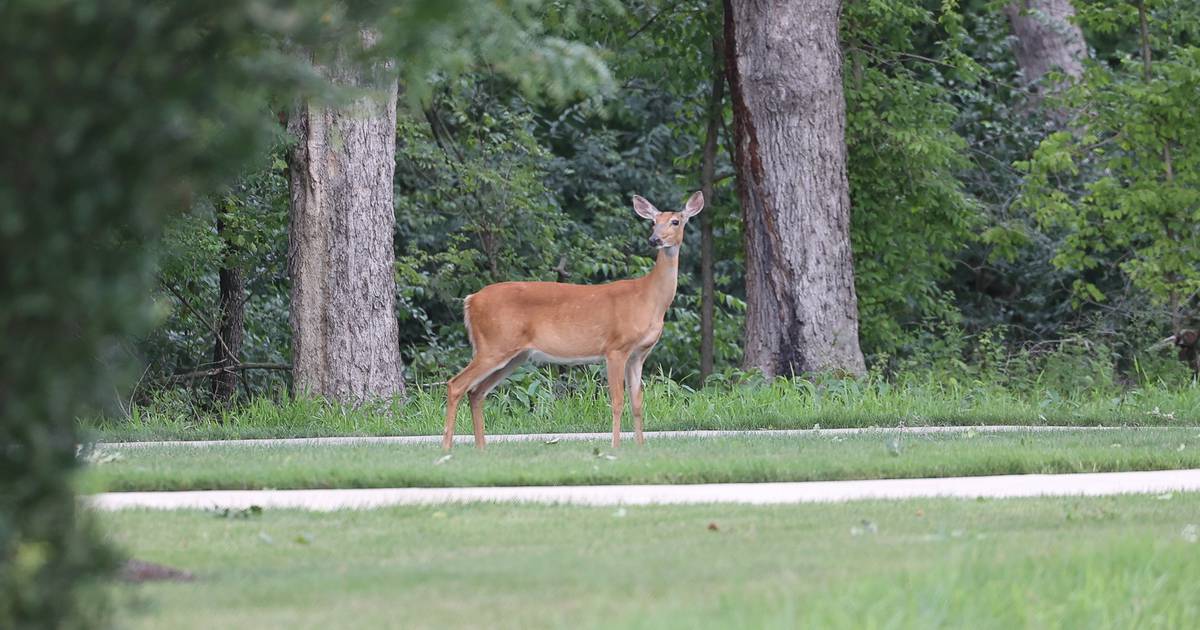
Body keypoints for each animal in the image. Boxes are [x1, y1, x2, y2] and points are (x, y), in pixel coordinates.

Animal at [442, 191, 704, 451]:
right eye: (653, 222)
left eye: (675, 221)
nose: (654, 240)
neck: (649, 299)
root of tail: (471, 300)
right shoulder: (615, 348)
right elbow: (617, 400)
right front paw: (615, 447)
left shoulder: (639, 354)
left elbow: (637, 401)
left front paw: (640, 446)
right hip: (494, 345)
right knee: (456, 384)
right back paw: (447, 447)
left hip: (513, 354)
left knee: (476, 392)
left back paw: (481, 449)